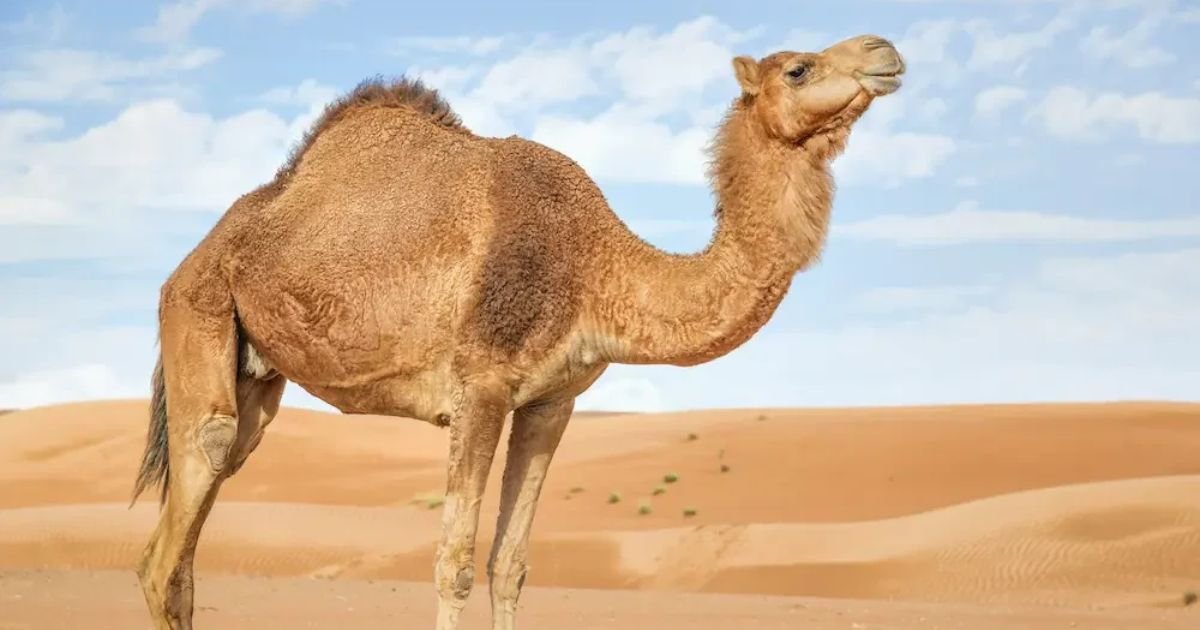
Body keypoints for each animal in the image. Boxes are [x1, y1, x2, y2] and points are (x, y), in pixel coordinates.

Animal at [129, 33, 905, 629]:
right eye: (798, 67)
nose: (884, 50)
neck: (594, 264)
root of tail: (193, 256)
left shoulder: (551, 401)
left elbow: (511, 564)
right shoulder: (479, 387)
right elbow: (454, 563)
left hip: (255, 374)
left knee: (189, 534)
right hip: (198, 308)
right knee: (181, 514)